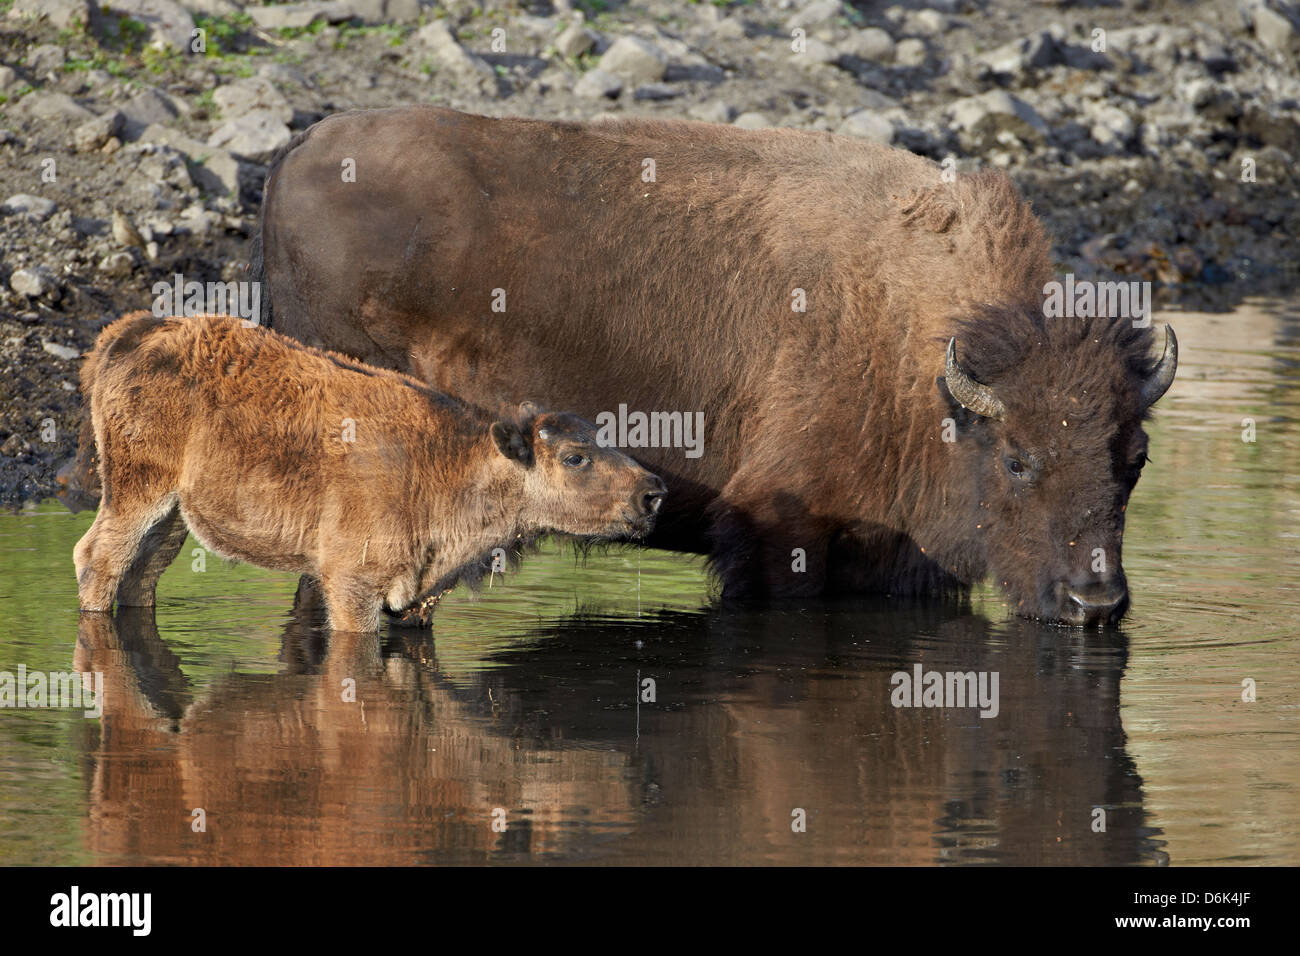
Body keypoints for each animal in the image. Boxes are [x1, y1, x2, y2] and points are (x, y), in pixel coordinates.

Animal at [73, 312, 666, 631]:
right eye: (574, 457)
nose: (653, 494)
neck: (447, 463)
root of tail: (132, 331)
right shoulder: (351, 584)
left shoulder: (419, 600)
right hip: (136, 492)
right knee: (99, 557)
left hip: (173, 515)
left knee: (142, 571)